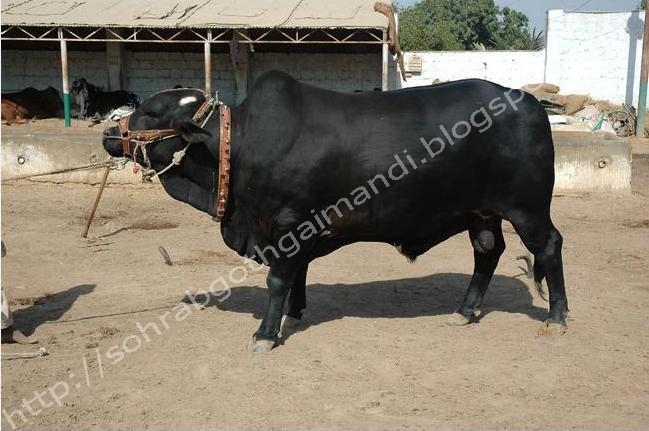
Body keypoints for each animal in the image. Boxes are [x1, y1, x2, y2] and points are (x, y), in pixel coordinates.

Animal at [102, 71, 569, 352]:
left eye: (152, 111)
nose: (109, 133)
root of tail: (527, 100)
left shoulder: (286, 223)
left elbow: (277, 279)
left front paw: (266, 333)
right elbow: (297, 275)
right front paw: (294, 310)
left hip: (528, 208)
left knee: (548, 246)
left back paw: (557, 317)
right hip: (481, 213)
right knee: (487, 251)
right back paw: (464, 311)